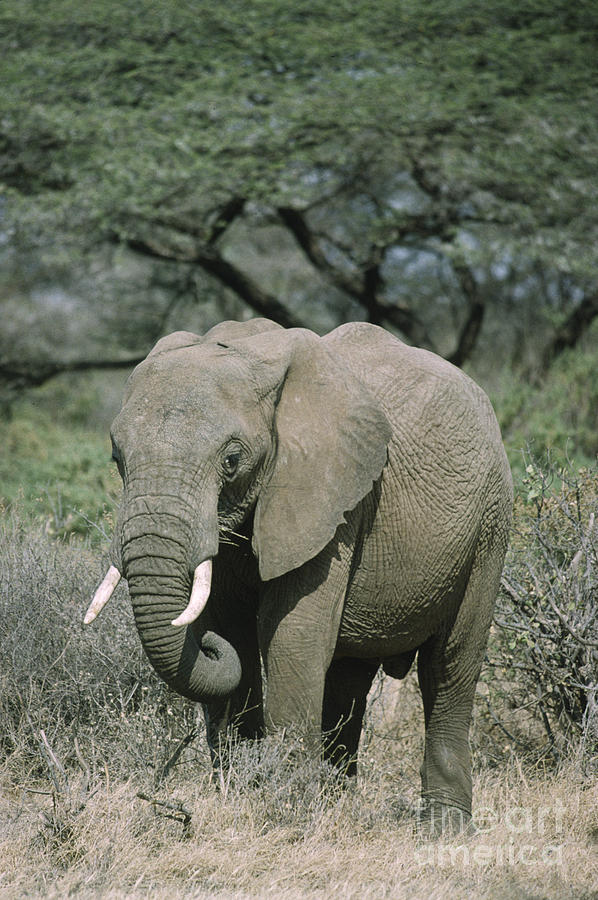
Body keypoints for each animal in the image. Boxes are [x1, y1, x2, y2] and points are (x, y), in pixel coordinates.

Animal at [84, 318, 512, 832]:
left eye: (231, 461)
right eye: (117, 459)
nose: (205, 646)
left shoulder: (331, 496)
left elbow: (291, 632)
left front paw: (284, 812)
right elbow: (233, 627)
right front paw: (242, 796)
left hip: (488, 528)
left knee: (450, 665)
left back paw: (442, 829)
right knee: (349, 679)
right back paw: (337, 802)